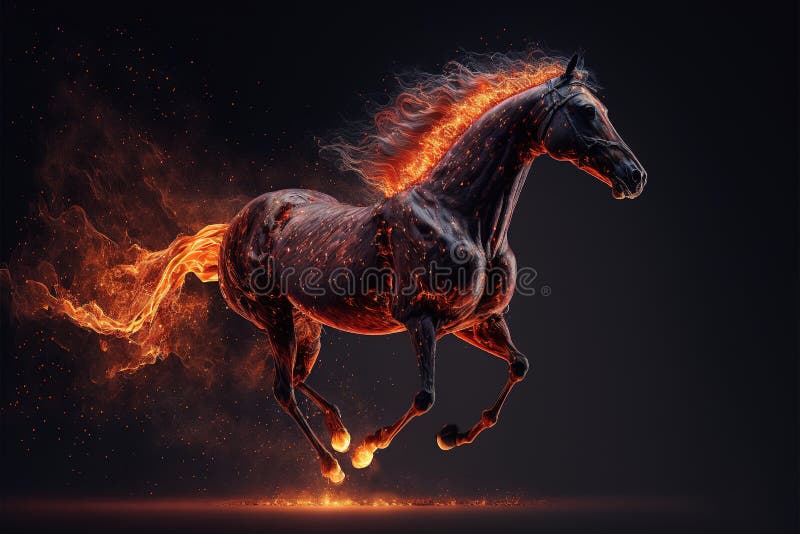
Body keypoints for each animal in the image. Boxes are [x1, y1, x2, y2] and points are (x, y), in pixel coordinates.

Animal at [216, 53, 647, 483]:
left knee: (297, 378)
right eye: (587, 110)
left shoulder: (475, 322)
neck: (458, 215)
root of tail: (236, 223)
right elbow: (425, 397)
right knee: (283, 389)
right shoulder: (420, 318)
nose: (636, 176)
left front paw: (452, 436)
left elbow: (519, 365)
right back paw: (333, 463)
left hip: (306, 321)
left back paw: (339, 431)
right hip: (276, 318)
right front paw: (368, 448)